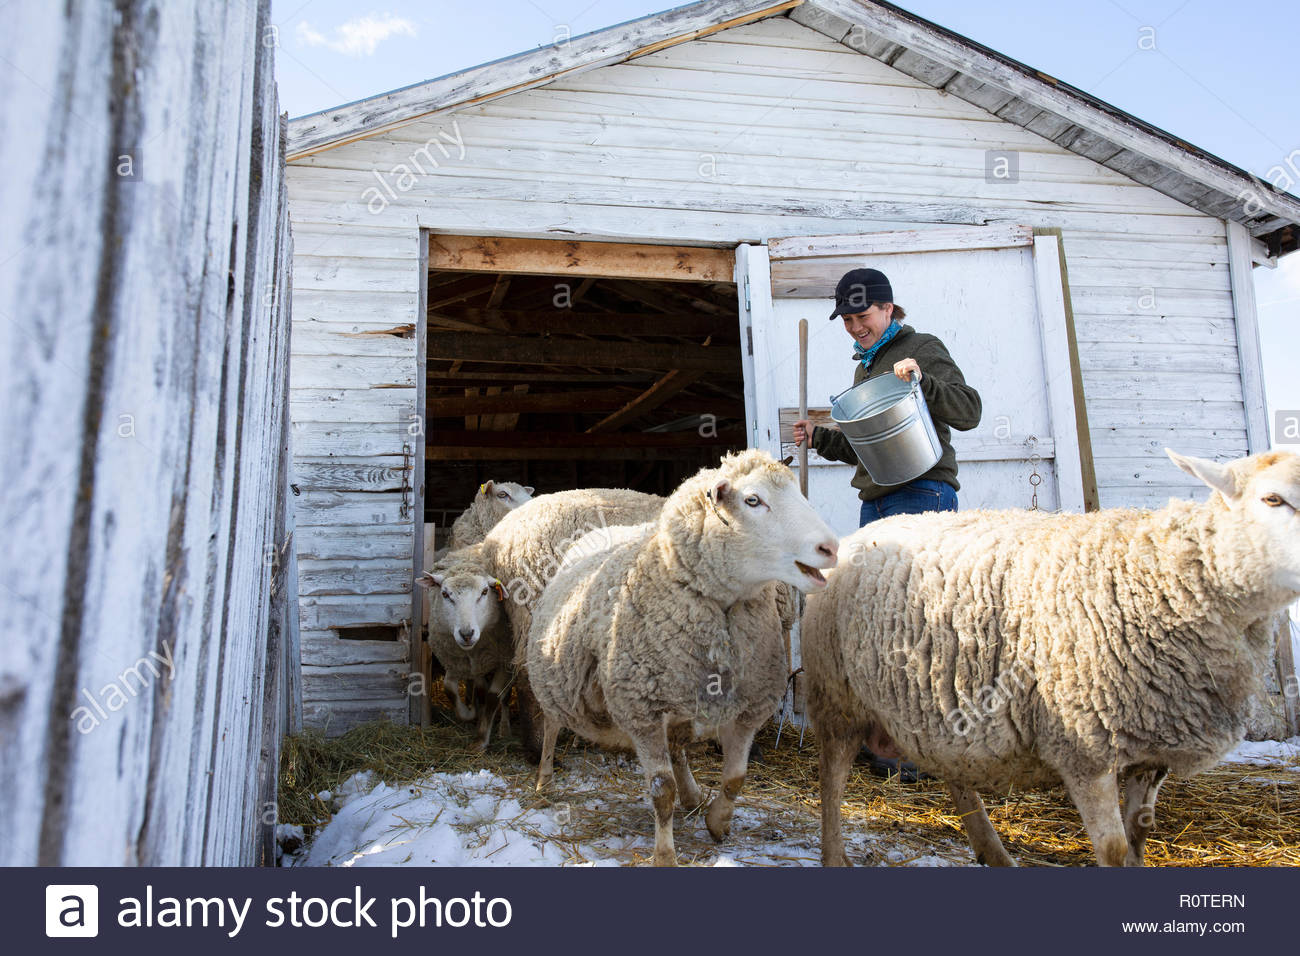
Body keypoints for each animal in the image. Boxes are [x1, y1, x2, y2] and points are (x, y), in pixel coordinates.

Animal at [417, 568, 513, 750]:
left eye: (484, 592)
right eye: (445, 594)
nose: (467, 634)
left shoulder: (505, 661)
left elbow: (493, 697)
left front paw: (480, 740)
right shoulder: (461, 662)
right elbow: (450, 688)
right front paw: (471, 713)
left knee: (505, 697)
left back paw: (504, 728)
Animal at [526, 450, 839, 866]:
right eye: (752, 500)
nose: (830, 548)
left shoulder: (749, 705)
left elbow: (735, 777)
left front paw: (717, 823)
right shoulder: (640, 710)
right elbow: (662, 791)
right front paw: (665, 855)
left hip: (676, 703)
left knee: (678, 749)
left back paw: (692, 796)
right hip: (557, 682)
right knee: (550, 727)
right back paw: (544, 780)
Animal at [803, 448, 1300, 868]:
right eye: (1272, 498)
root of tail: (863, 532)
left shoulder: (1152, 751)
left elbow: (1139, 840)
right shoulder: (1084, 746)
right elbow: (1114, 849)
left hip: (934, 703)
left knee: (956, 779)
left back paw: (993, 853)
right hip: (838, 696)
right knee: (831, 777)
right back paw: (834, 856)